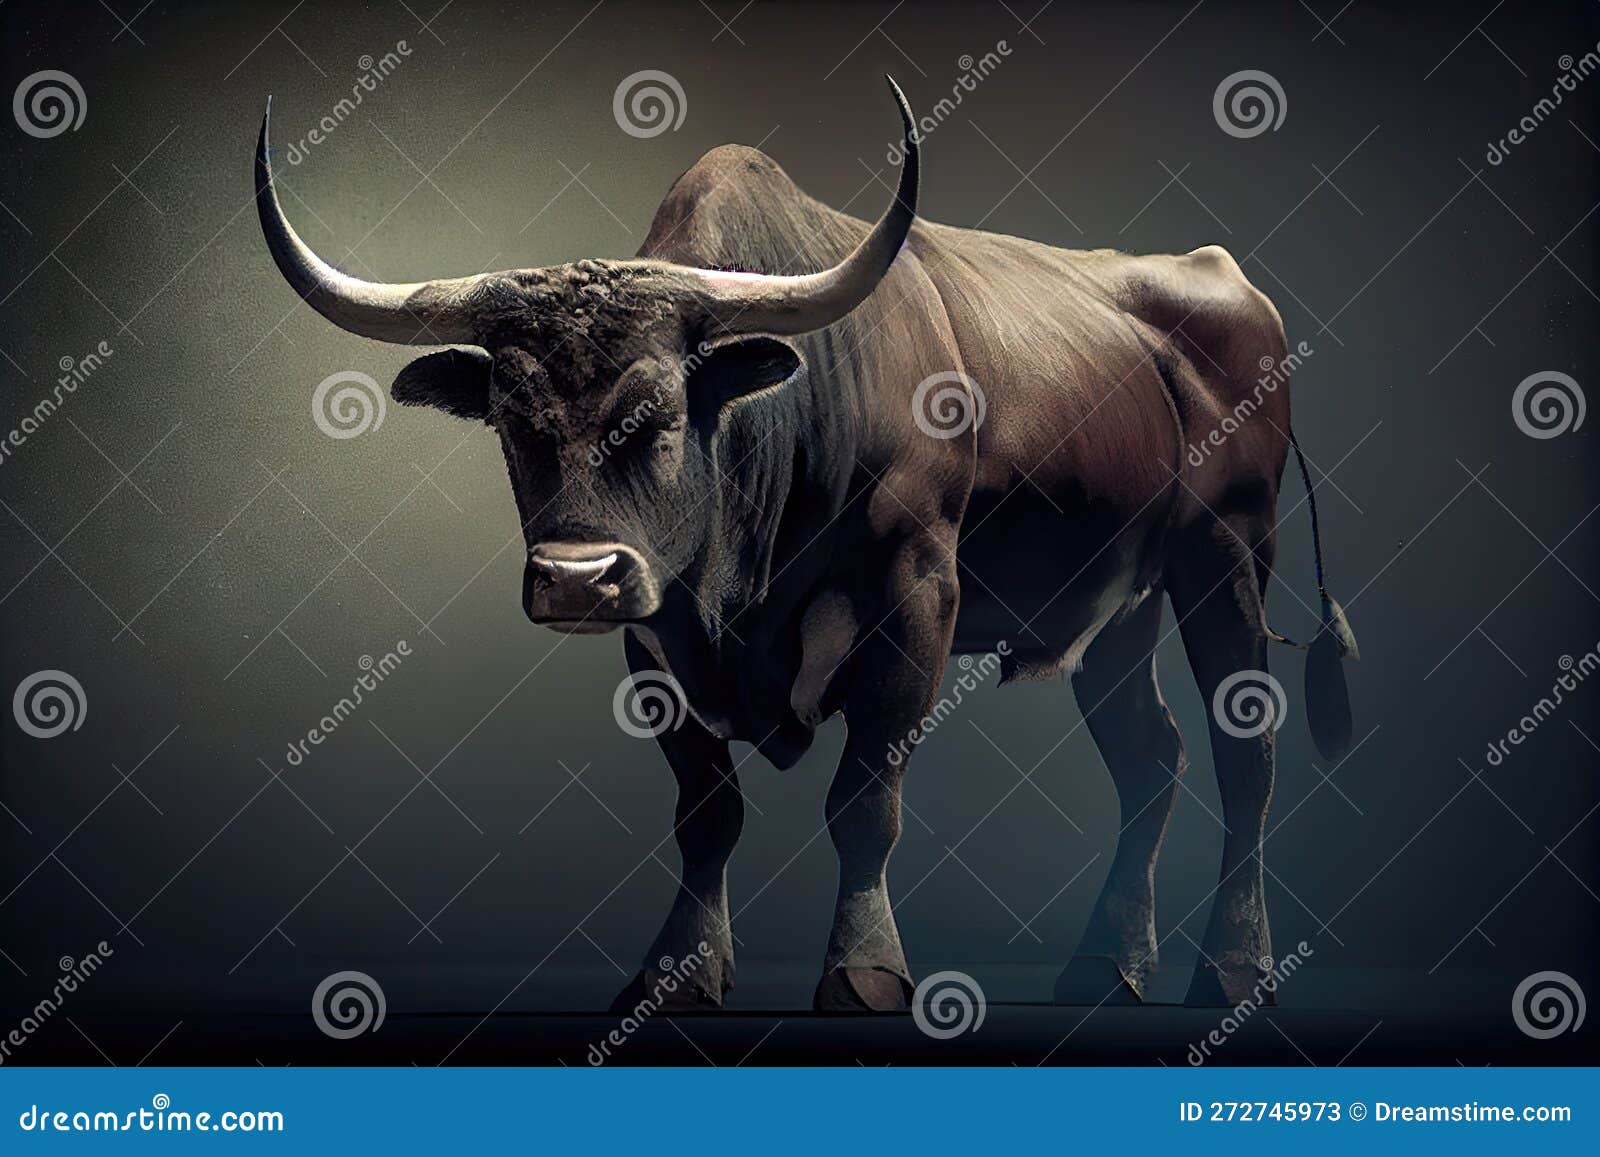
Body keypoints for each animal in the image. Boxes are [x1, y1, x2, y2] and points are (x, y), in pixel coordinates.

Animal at [255, 77, 1356, 1013]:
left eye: (658, 415)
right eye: (511, 422)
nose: (574, 578)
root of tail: (1227, 286)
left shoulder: (916, 597)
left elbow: (864, 799)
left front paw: (865, 970)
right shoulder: (654, 635)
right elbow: (707, 812)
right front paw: (678, 971)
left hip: (1226, 559)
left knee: (1244, 751)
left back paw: (1232, 965)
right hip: (1117, 603)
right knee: (1149, 757)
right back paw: (1105, 967)